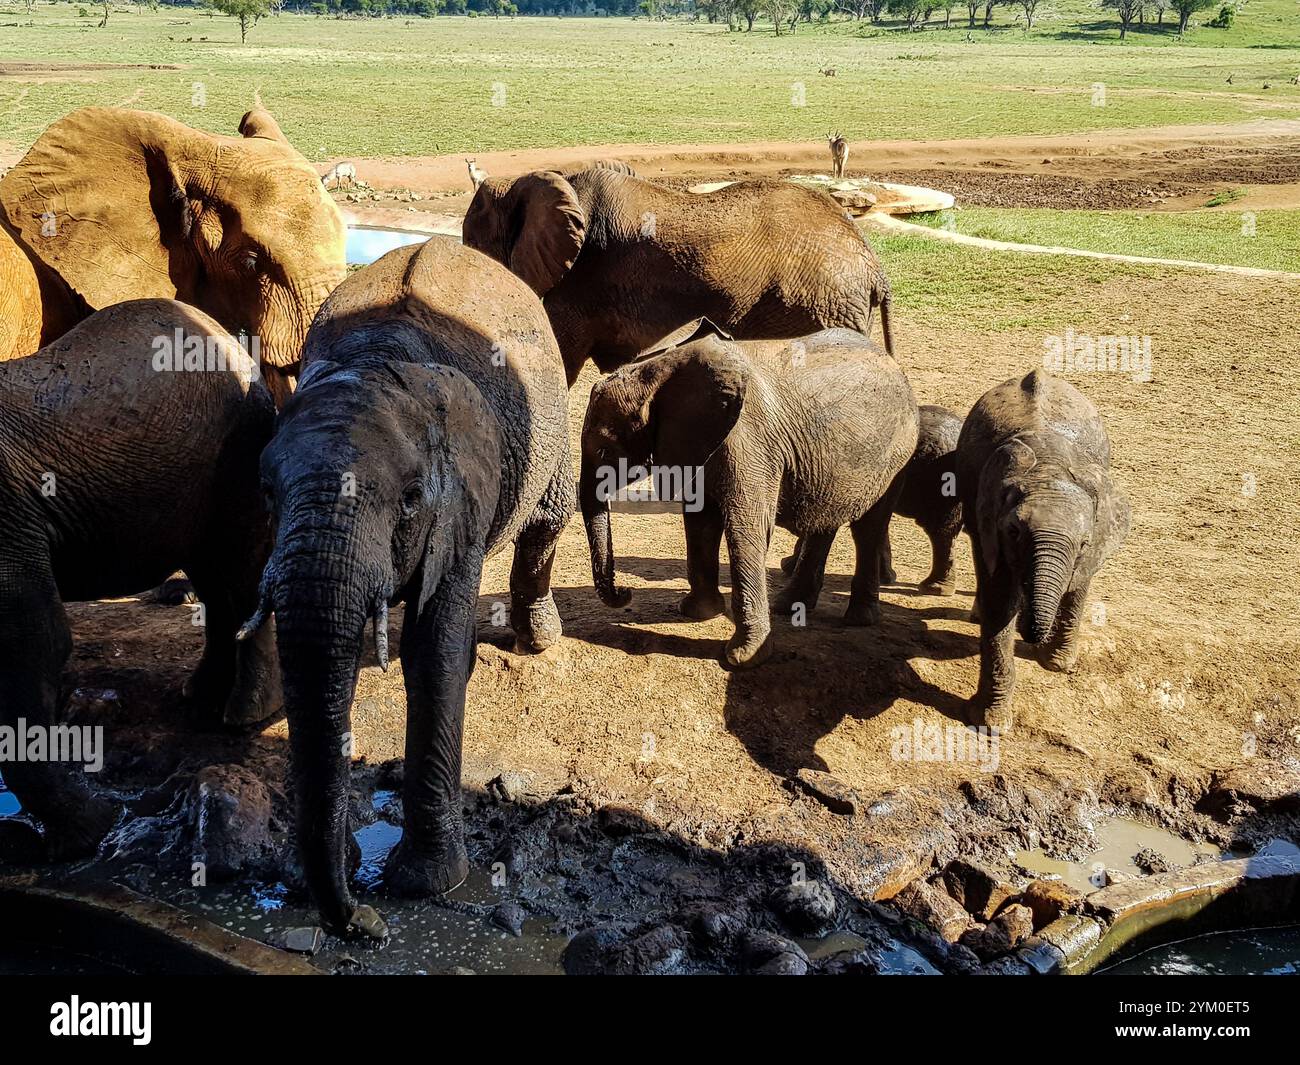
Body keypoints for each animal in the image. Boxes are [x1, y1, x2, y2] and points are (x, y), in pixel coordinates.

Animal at [0, 299, 281, 859]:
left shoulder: (6, 516)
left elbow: (31, 644)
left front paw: (90, 835)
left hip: (240, 455)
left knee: (240, 576)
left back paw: (242, 716)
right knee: (214, 581)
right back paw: (199, 696)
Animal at [242, 236, 573, 938]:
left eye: (412, 499)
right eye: (266, 492)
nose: (364, 923)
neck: (377, 361)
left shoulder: (463, 501)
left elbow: (434, 655)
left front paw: (425, 884)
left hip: (553, 416)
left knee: (546, 523)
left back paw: (538, 640)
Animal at [580, 323, 918, 669]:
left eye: (605, 450)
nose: (625, 592)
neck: (658, 369)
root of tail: (895, 365)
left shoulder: (750, 444)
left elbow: (746, 528)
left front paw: (741, 659)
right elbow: (700, 521)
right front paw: (698, 612)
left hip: (898, 454)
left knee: (869, 527)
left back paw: (859, 618)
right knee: (824, 522)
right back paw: (788, 605)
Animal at [957, 370, 1130, 730]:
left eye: (1084, 543)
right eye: (1013, 532)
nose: (1033, 632)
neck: (1051, 465)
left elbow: (1078, 584)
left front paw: (1057, 665)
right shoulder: (989, 515)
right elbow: (1000, 597)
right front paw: (991, 723)